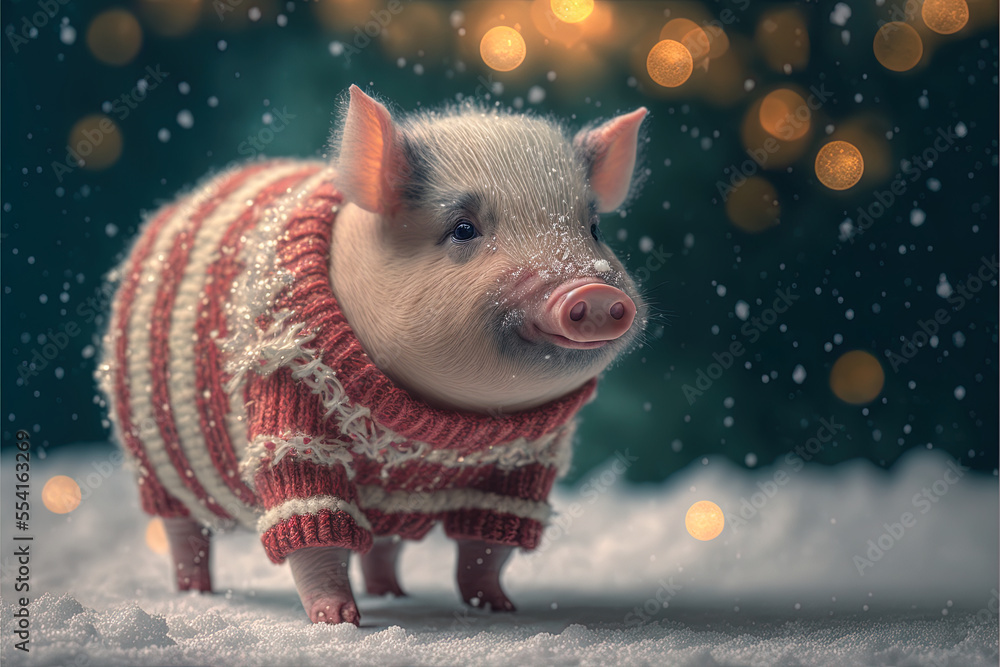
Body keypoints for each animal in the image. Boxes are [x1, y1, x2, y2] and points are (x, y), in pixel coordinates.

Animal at [97, 85, 648, 626]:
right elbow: (310, 513)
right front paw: (339, 619)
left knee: (385, 544)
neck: (451, 423)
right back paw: (197, 593)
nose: (594, 292)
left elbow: (488, 544)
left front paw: (499, 608)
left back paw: (395, 594)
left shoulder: (529, 457)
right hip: (152, 457)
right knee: (182, 531)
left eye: (593, 228)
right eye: (463, 228)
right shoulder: (288, 405)